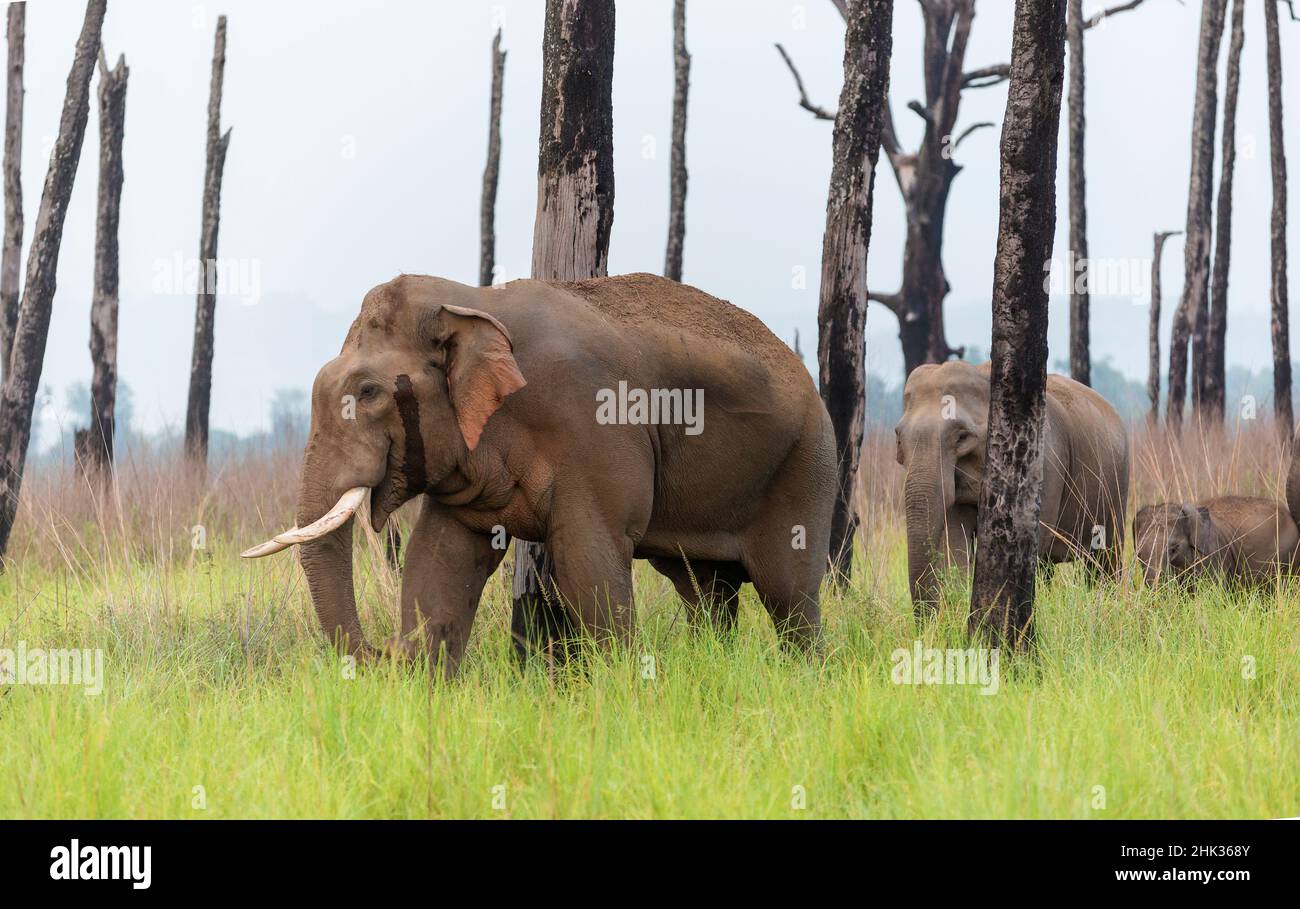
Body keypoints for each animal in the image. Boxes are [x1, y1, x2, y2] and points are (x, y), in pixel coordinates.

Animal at [243, 272, 836, 674]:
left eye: (367, 392)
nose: (387, 651)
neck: (471, 301)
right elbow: (439, 560)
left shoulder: (592, 424)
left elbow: (587, 560)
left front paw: (622, 689)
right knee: (706, 592)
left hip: (806, 465)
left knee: (789, 593)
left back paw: (806, 678)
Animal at [894, 360, 1129, 614]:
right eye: (898, 437)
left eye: (962, 437)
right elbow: (954, 543)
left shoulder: (1043, 463)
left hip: (1119, 485)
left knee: (1104, 559)